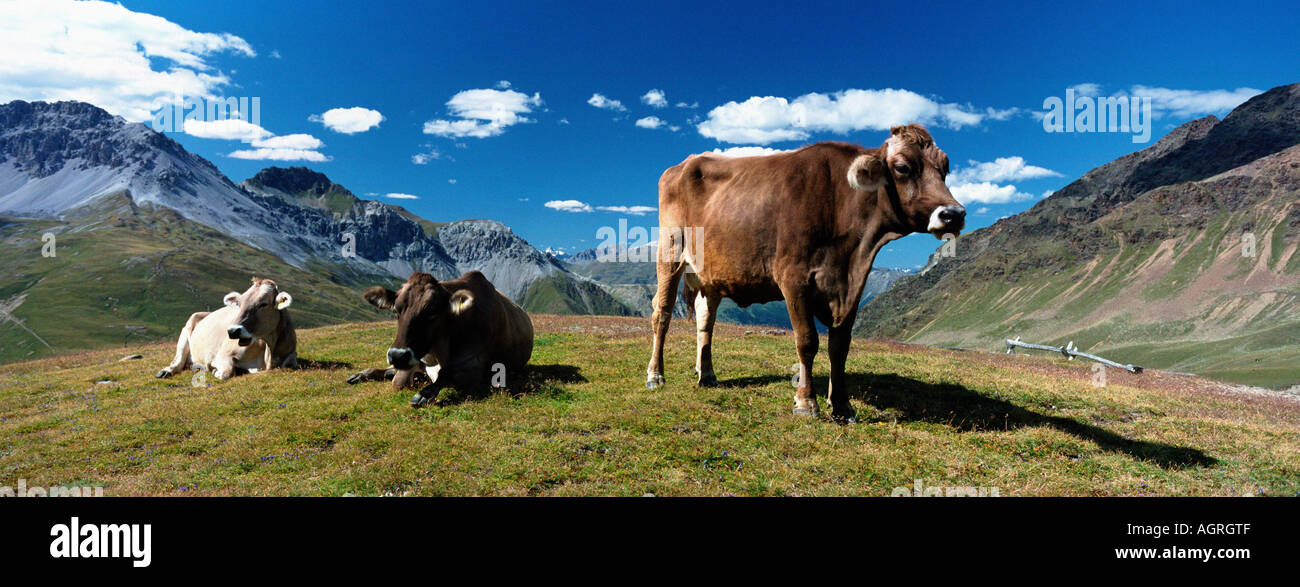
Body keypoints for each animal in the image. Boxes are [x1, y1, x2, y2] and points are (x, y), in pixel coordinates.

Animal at [156, 277, 298, 380]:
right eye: (239, 304)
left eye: (263, 304)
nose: (233, 331)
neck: (269, 353)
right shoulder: (223, 353)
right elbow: (226, 372)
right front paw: (215, 370)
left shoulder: (291, 353)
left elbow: (290, 362)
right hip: (185, 332)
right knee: (178, 361)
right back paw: (166, 371)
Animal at [347, 270, 534, 408]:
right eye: (395, 310)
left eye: (432, 312)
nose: (397, 356)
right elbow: (399, 381)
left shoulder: (476, 367)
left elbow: (446, 374)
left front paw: (423, 394)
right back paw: (362, 374)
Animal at [645, 124, 965, 422]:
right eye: (902, 167)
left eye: (945, 167)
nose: (954, 214)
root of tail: (685, 163)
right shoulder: (793, 279)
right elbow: (807, 341)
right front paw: (805, 403)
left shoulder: (852, 288)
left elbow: (840, 346)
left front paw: (842, 406)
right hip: (670, 250)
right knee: (662, 312)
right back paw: (655, 375)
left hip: (711, 272)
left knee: (705, 319)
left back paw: (707, 374)